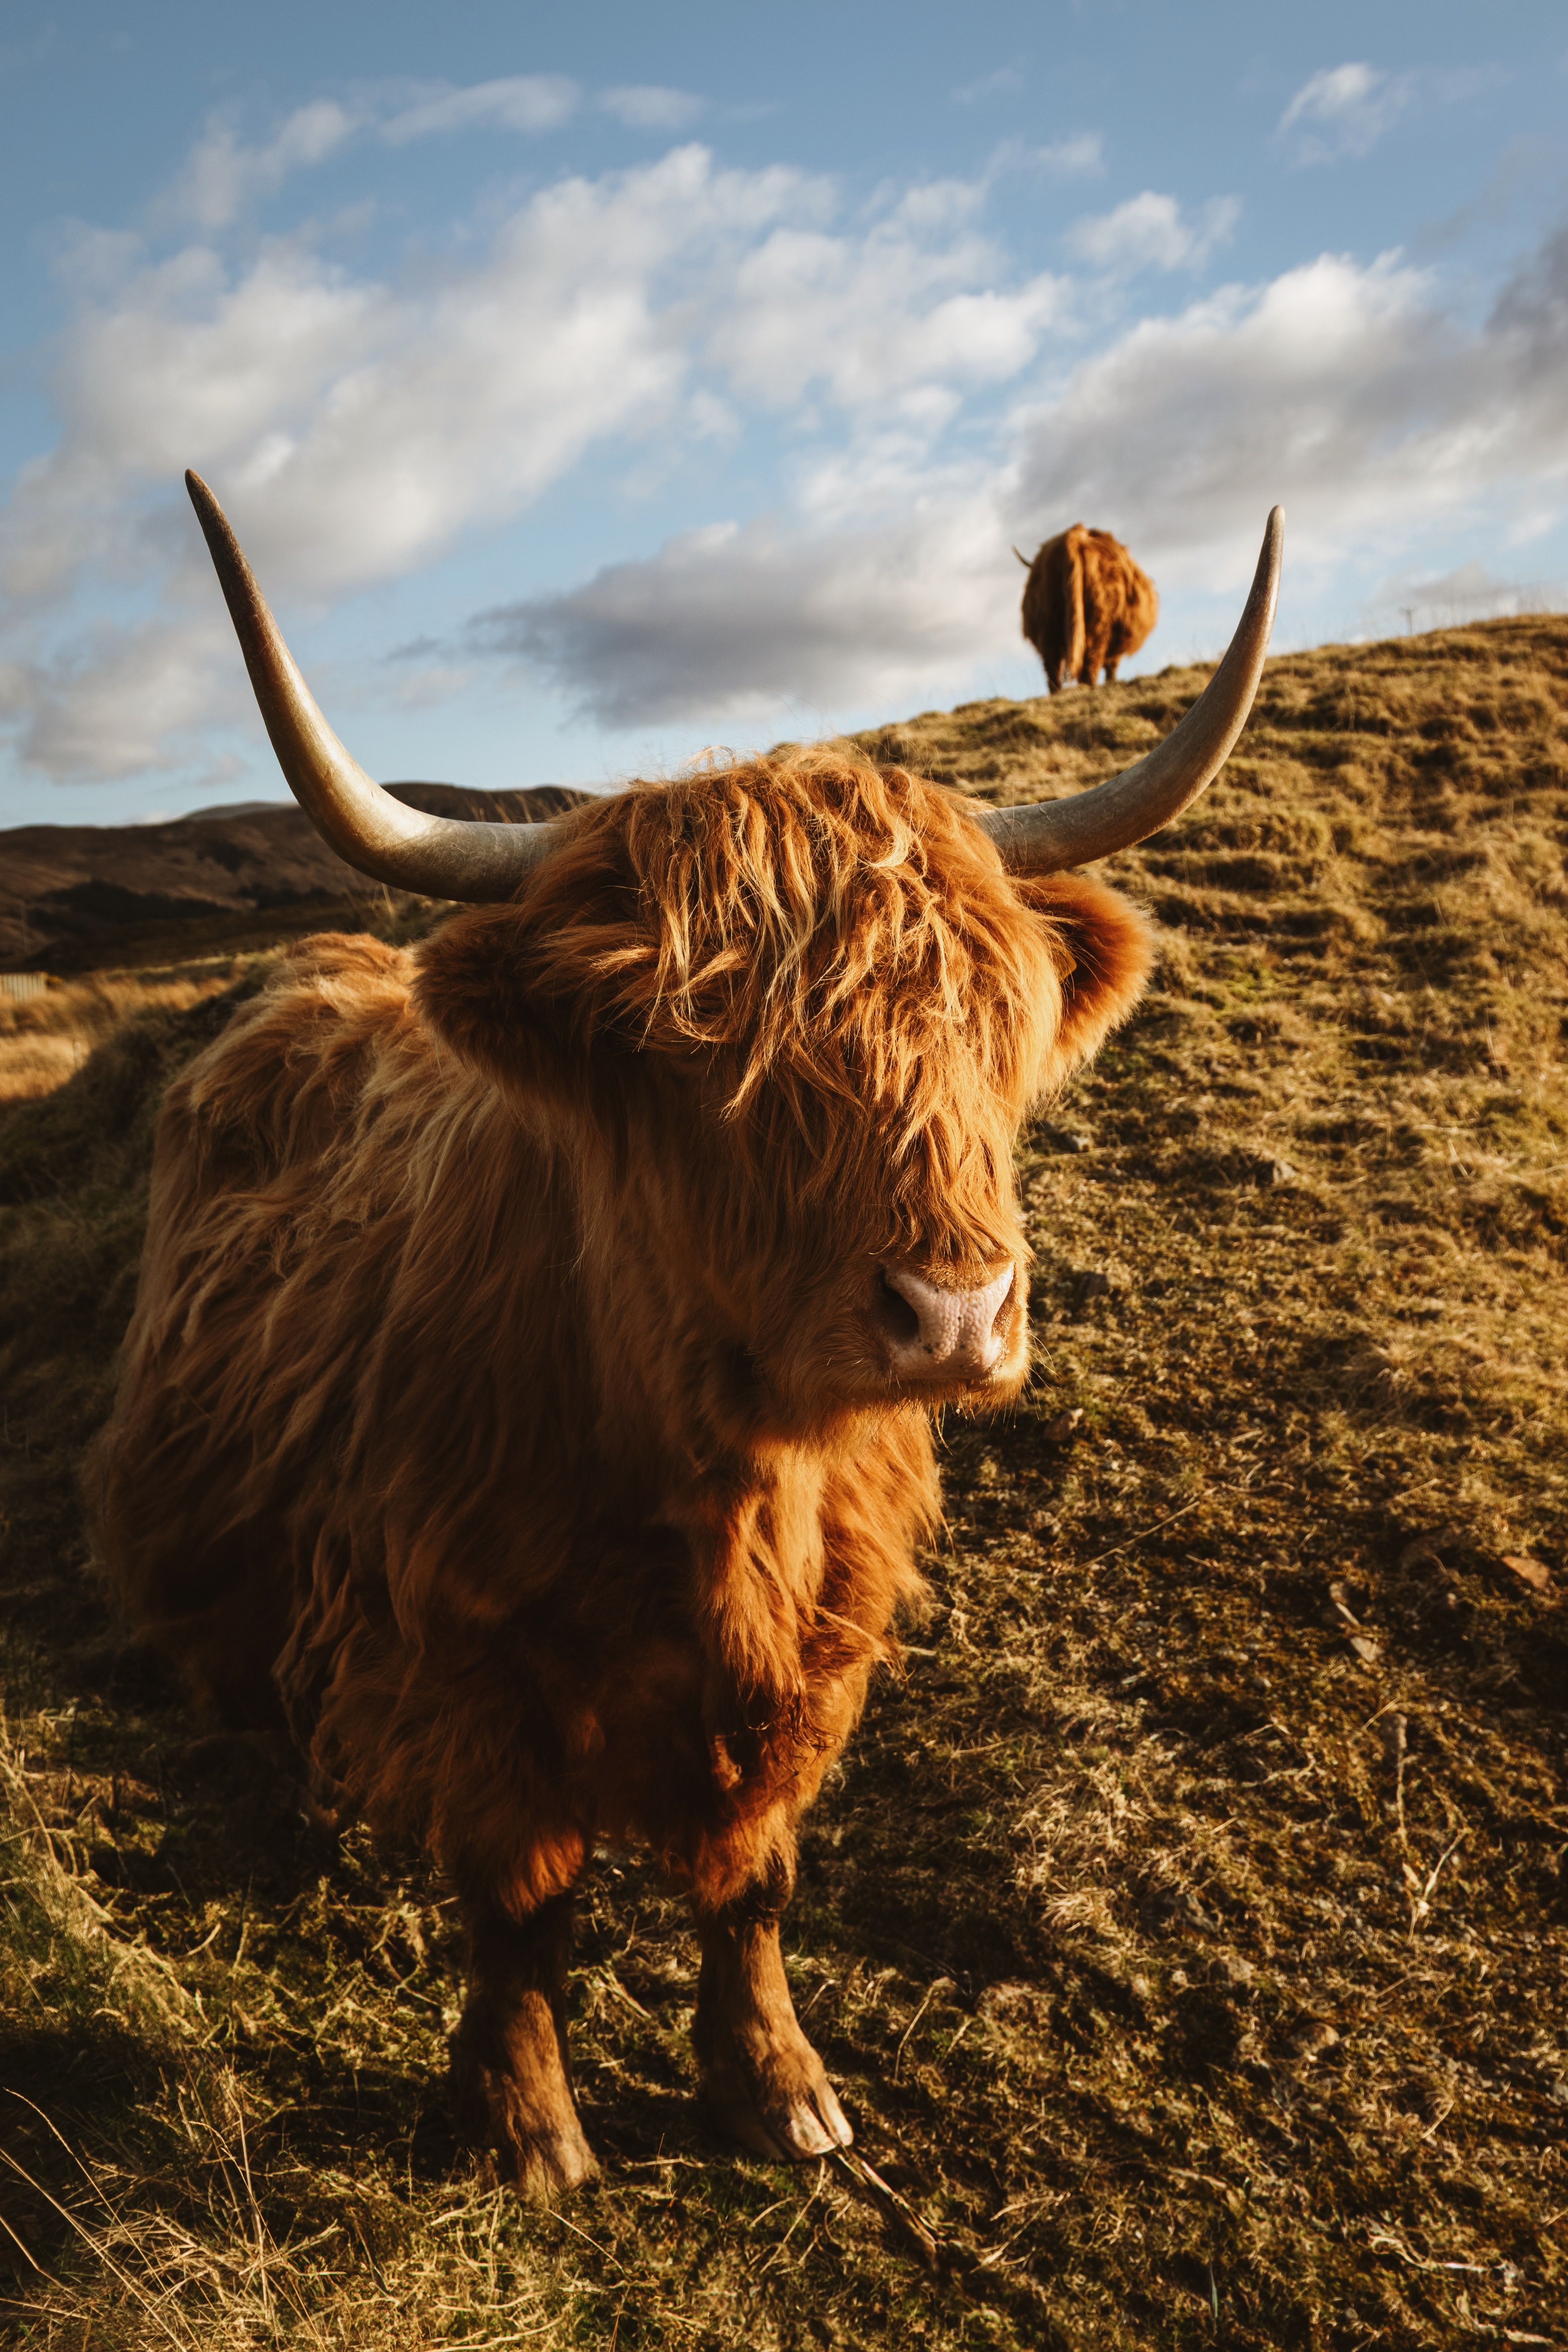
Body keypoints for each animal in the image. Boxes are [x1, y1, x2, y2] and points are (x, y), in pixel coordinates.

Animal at [1015, 524, 1160, 693]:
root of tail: (1074, 538)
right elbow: (1112, 667)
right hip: (1098, 622)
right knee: (1090, 663)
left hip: (1047, 623)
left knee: (1052, 666)